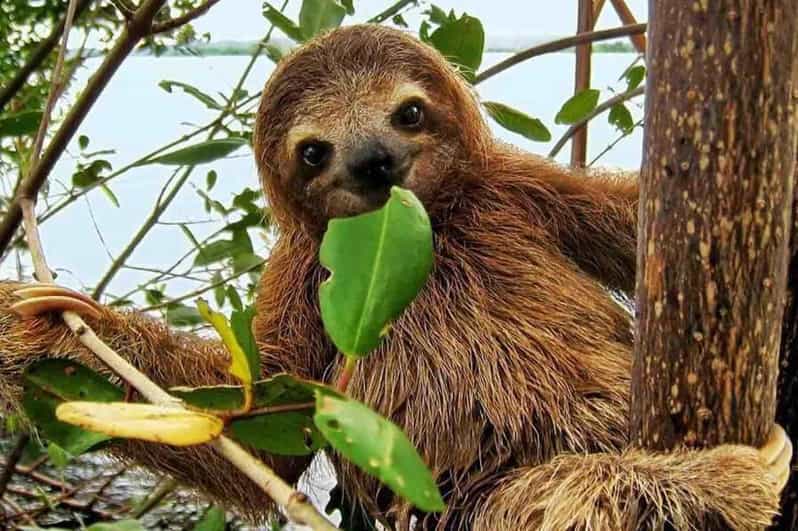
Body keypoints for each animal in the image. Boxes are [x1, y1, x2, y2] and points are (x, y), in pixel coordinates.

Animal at [0, 24, 792, 530]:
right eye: (313, 151)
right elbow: (255, 422)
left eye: (408, 112)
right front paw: (42, 325)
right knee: (560, 501)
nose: (373, 159)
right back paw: (717, 483)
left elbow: (630, 224)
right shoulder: (303, 267)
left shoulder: (521, 189)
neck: (425, 229)